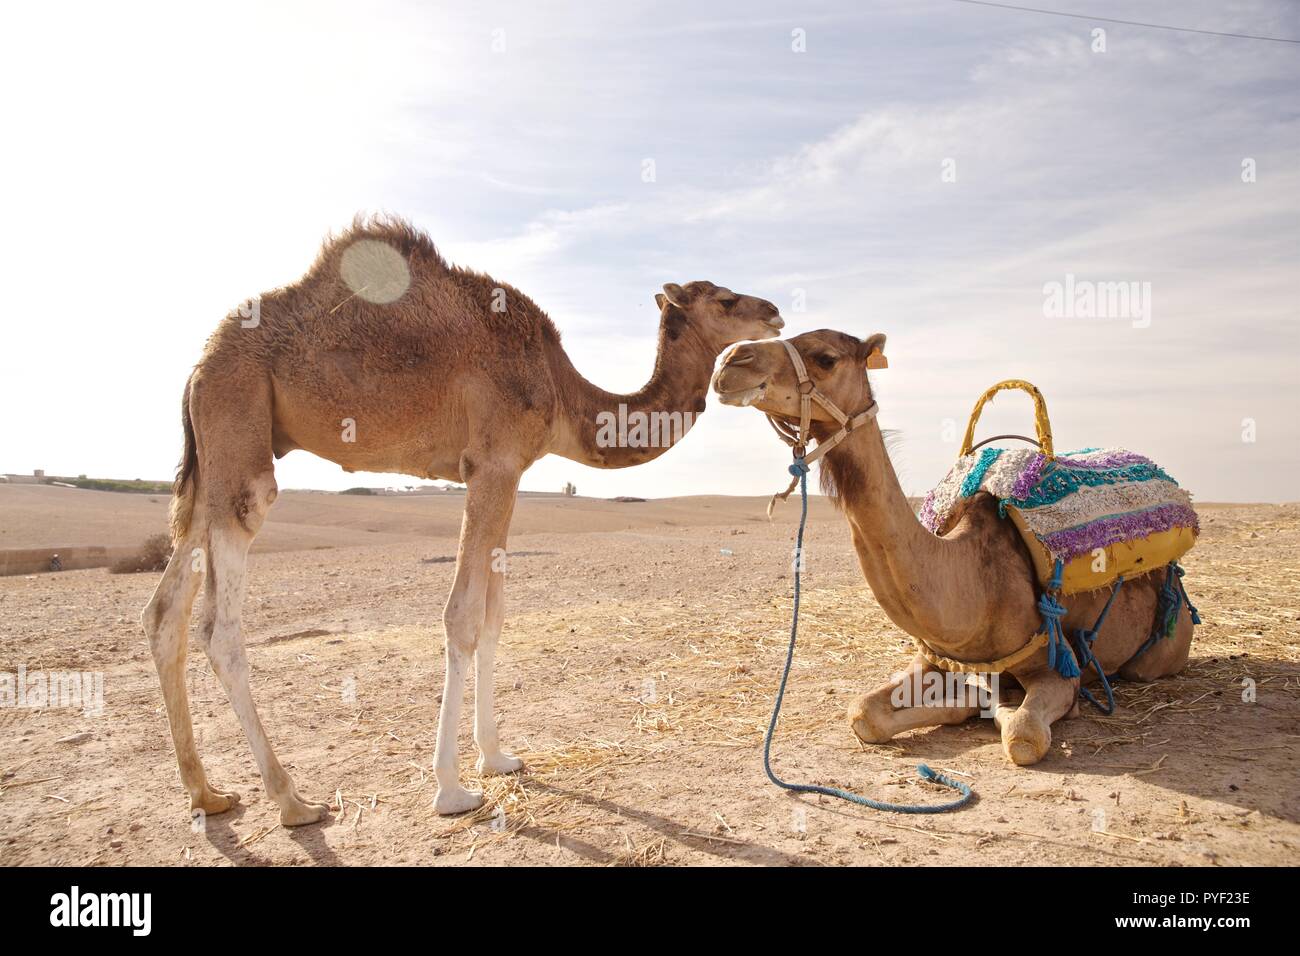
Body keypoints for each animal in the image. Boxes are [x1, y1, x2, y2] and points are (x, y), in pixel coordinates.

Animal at [142, 216, 784, 823]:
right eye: (725, 299)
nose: (775, 312)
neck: (560, 387)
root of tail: (200, 365)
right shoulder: (492, 465)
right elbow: (463, 616)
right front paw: (450, 788)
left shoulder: (509, 472)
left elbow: (495, 616)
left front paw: (497, 756)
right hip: (241, 423)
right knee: (219, 623)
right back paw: (292, 801)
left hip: (213, 458)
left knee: (164, 612)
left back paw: (207, 794)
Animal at [712, 330, 1195, 765]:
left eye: (825, 358)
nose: (731, 361)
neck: (969, 579)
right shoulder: (931, 657)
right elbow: (863, 713)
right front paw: (970, 700)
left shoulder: (1059, 669)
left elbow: (1022, 735)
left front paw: (994, 705)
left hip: (1159, 652)